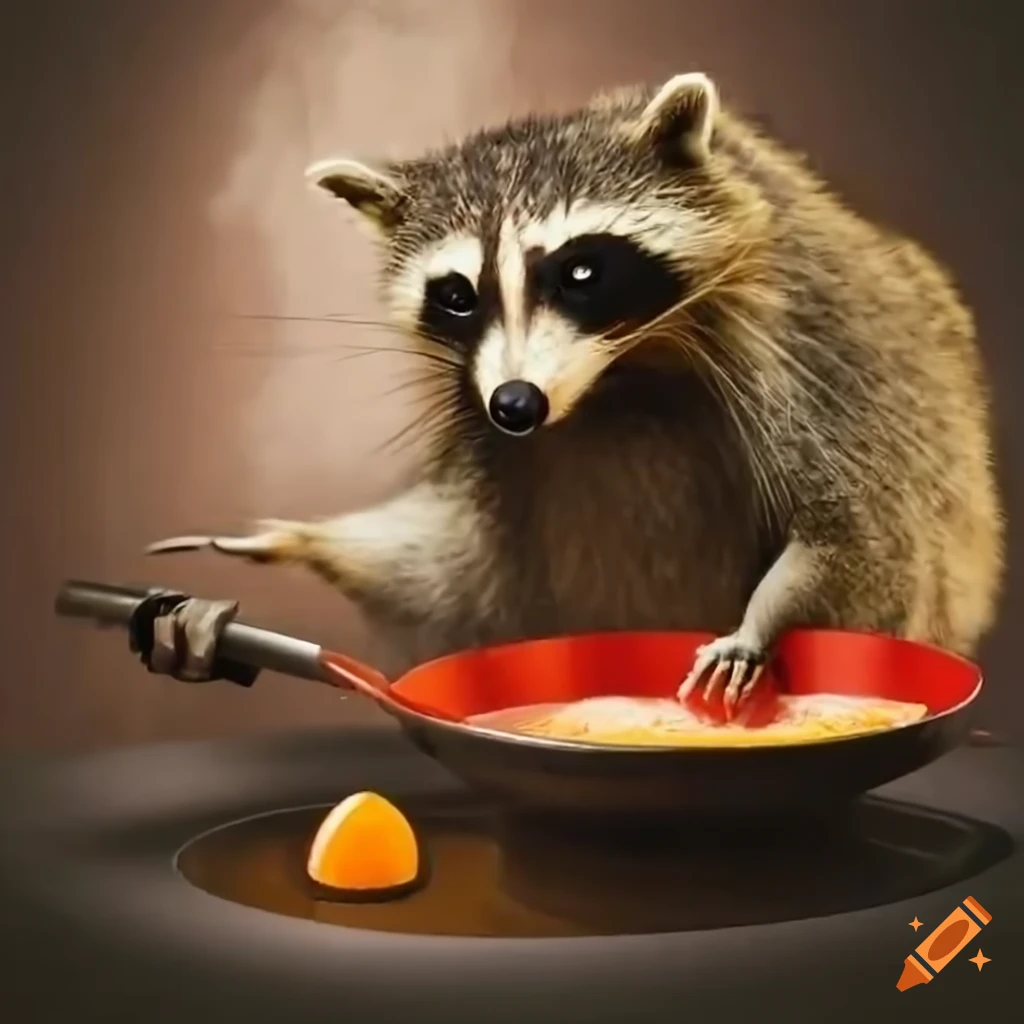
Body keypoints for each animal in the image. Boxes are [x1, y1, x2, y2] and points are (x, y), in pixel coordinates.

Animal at [151, 72, 1005, 709]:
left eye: (582, 271)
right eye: (456, 295)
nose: (516, 405)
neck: (623, 376)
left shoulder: (806, 348)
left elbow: (860, 533)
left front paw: (762, 623)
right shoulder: (487, 433)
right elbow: (454, 572)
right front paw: (299, 539)